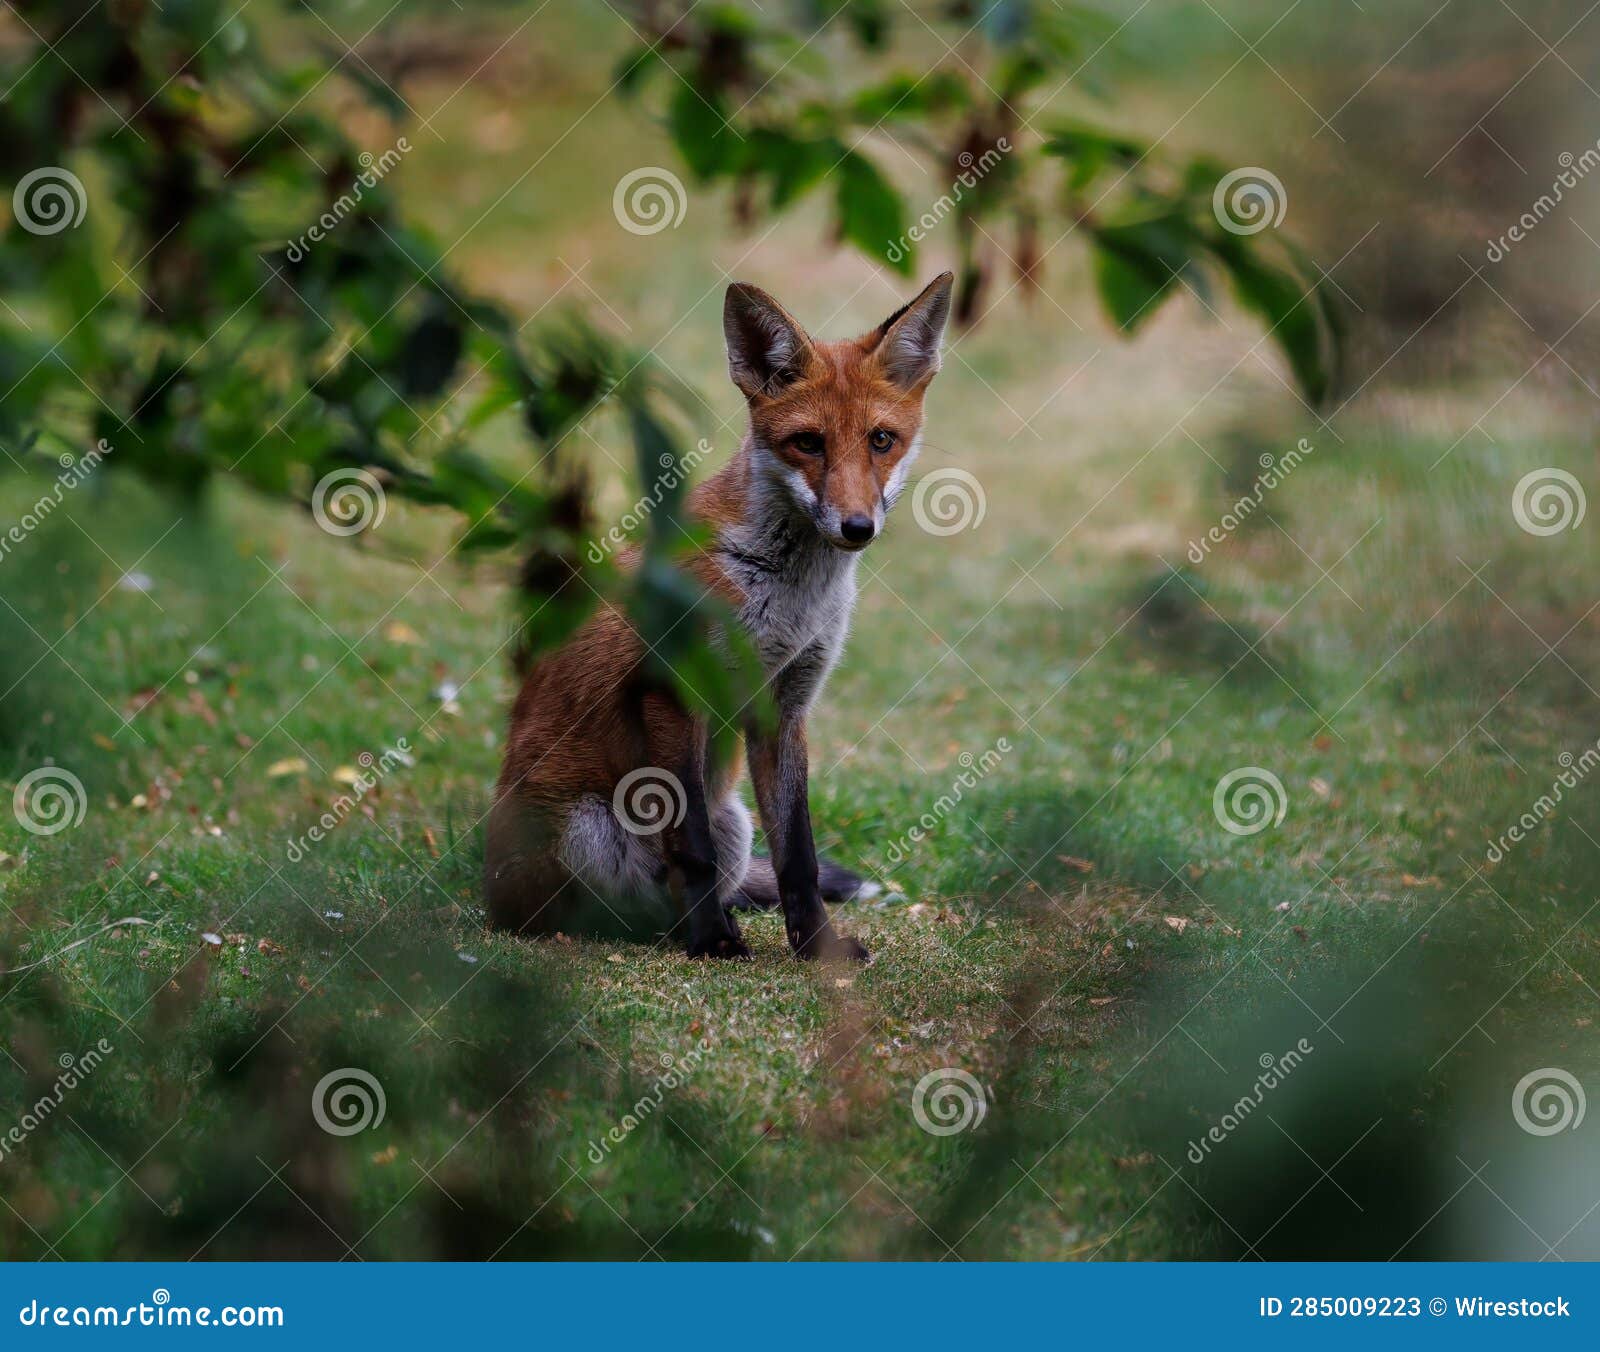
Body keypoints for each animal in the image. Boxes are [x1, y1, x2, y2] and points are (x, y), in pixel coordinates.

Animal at [484, 272, 954, 963]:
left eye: (880, 440)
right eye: (808, 442)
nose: (857, 527)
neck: (784, 600)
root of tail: (487, 889)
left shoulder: (785, 705)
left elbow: (797, 858)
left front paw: (816, 947)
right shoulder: (672, 691)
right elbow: (693, 851)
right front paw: (713, 945)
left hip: (734, 816)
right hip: (593, 827)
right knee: (607, 907)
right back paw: (676, 931)